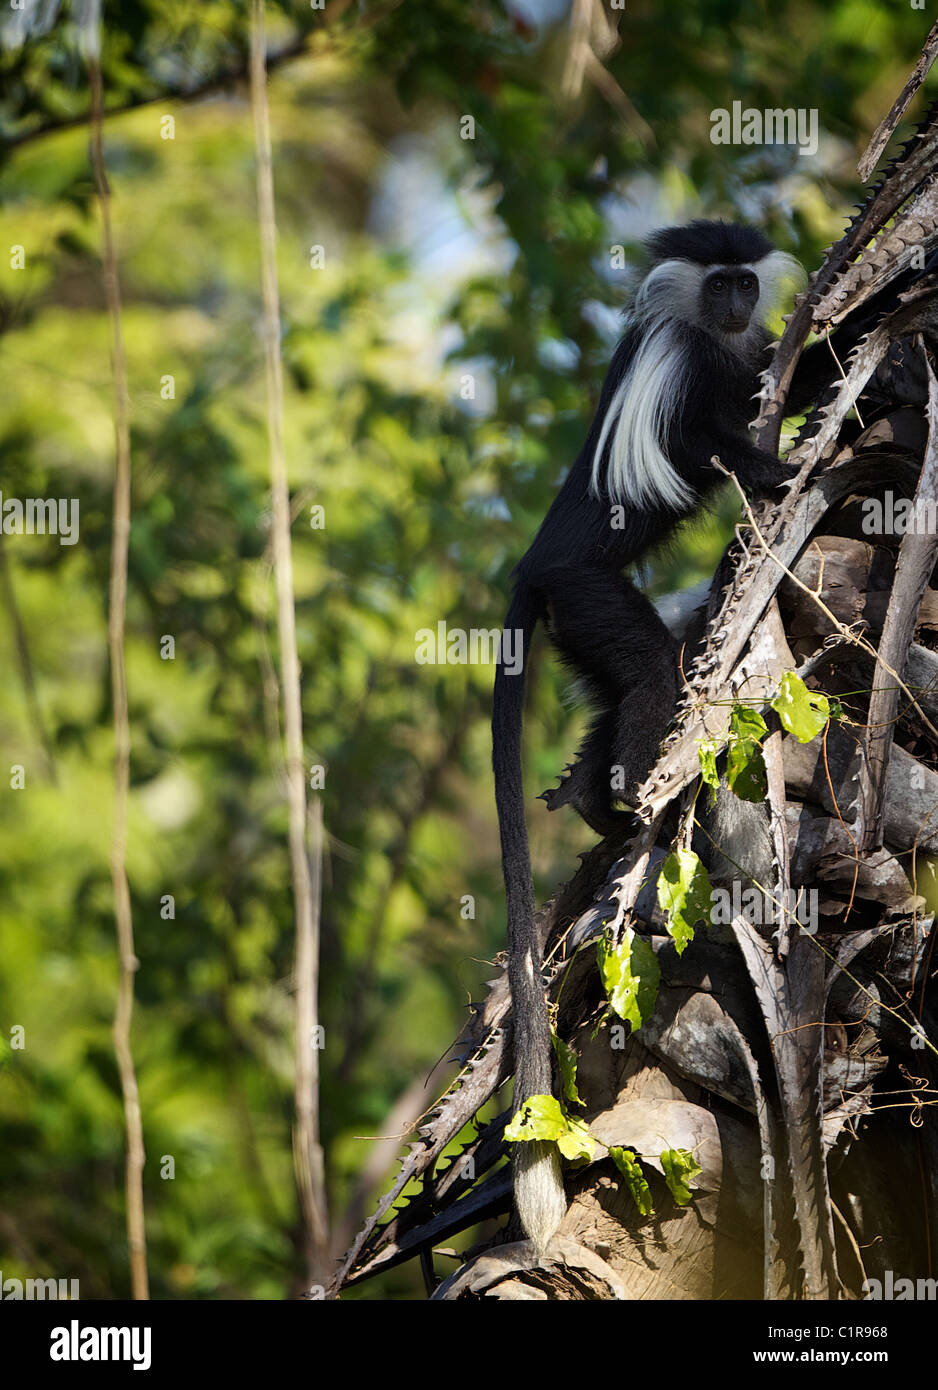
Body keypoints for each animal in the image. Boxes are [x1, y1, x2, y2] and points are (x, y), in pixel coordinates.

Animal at [494, 219, 833, 1251]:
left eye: (744, 283)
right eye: (717, 282)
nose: (734, 302)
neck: (707, 334)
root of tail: (534, 563)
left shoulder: (742, 355)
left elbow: (787, 372)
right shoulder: (680, 366)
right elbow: (695, 441)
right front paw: (776, 470)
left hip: (580, 629)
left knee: (631, 688)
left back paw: (595, 806)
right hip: (588, 593)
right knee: (651, 676)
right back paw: (633, 805)